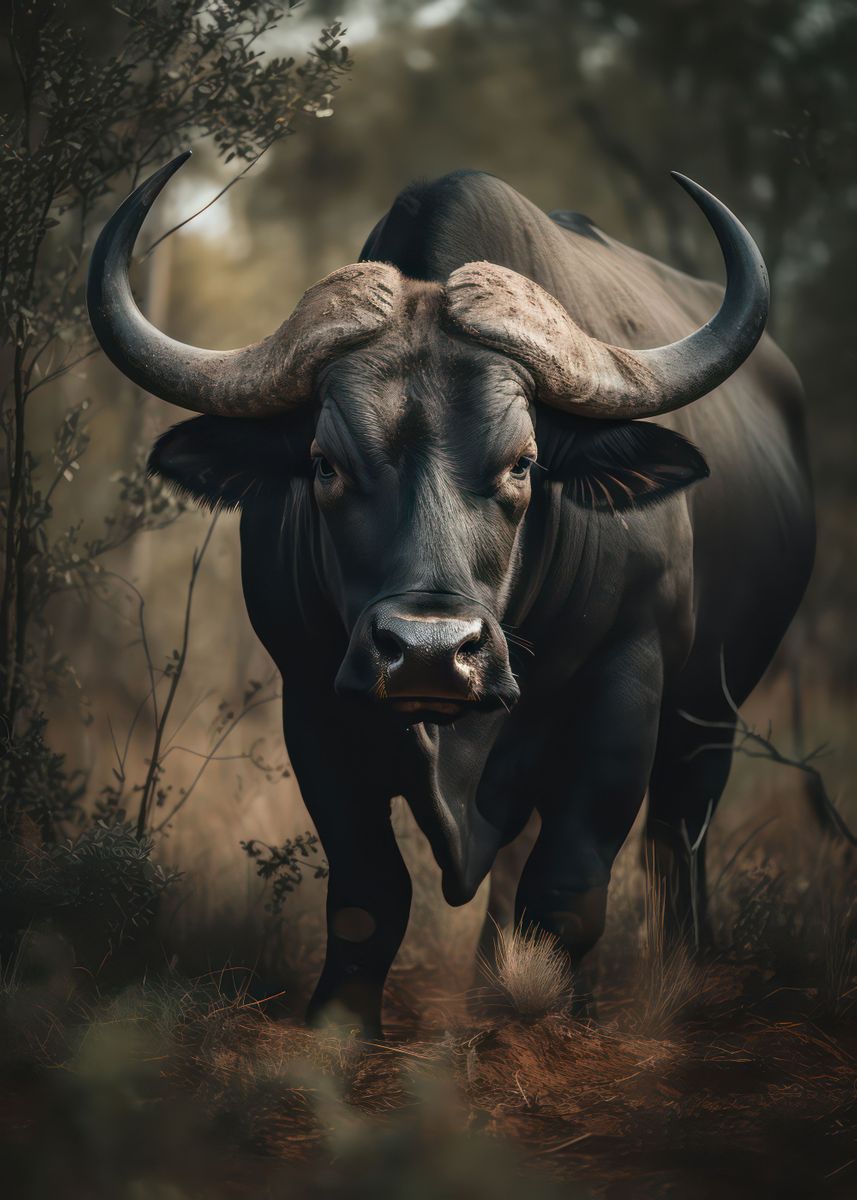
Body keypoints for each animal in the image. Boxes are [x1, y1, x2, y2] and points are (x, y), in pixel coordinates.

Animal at [88, 152, 814, 1036]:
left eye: (524, 462)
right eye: (324, 463)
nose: (429, 654)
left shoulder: (626, 686)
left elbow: (566, 891)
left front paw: (539, 1026)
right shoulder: (310, 698)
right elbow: (368, 894)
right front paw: (339, 1030)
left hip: (709, 711)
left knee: (678, 838)